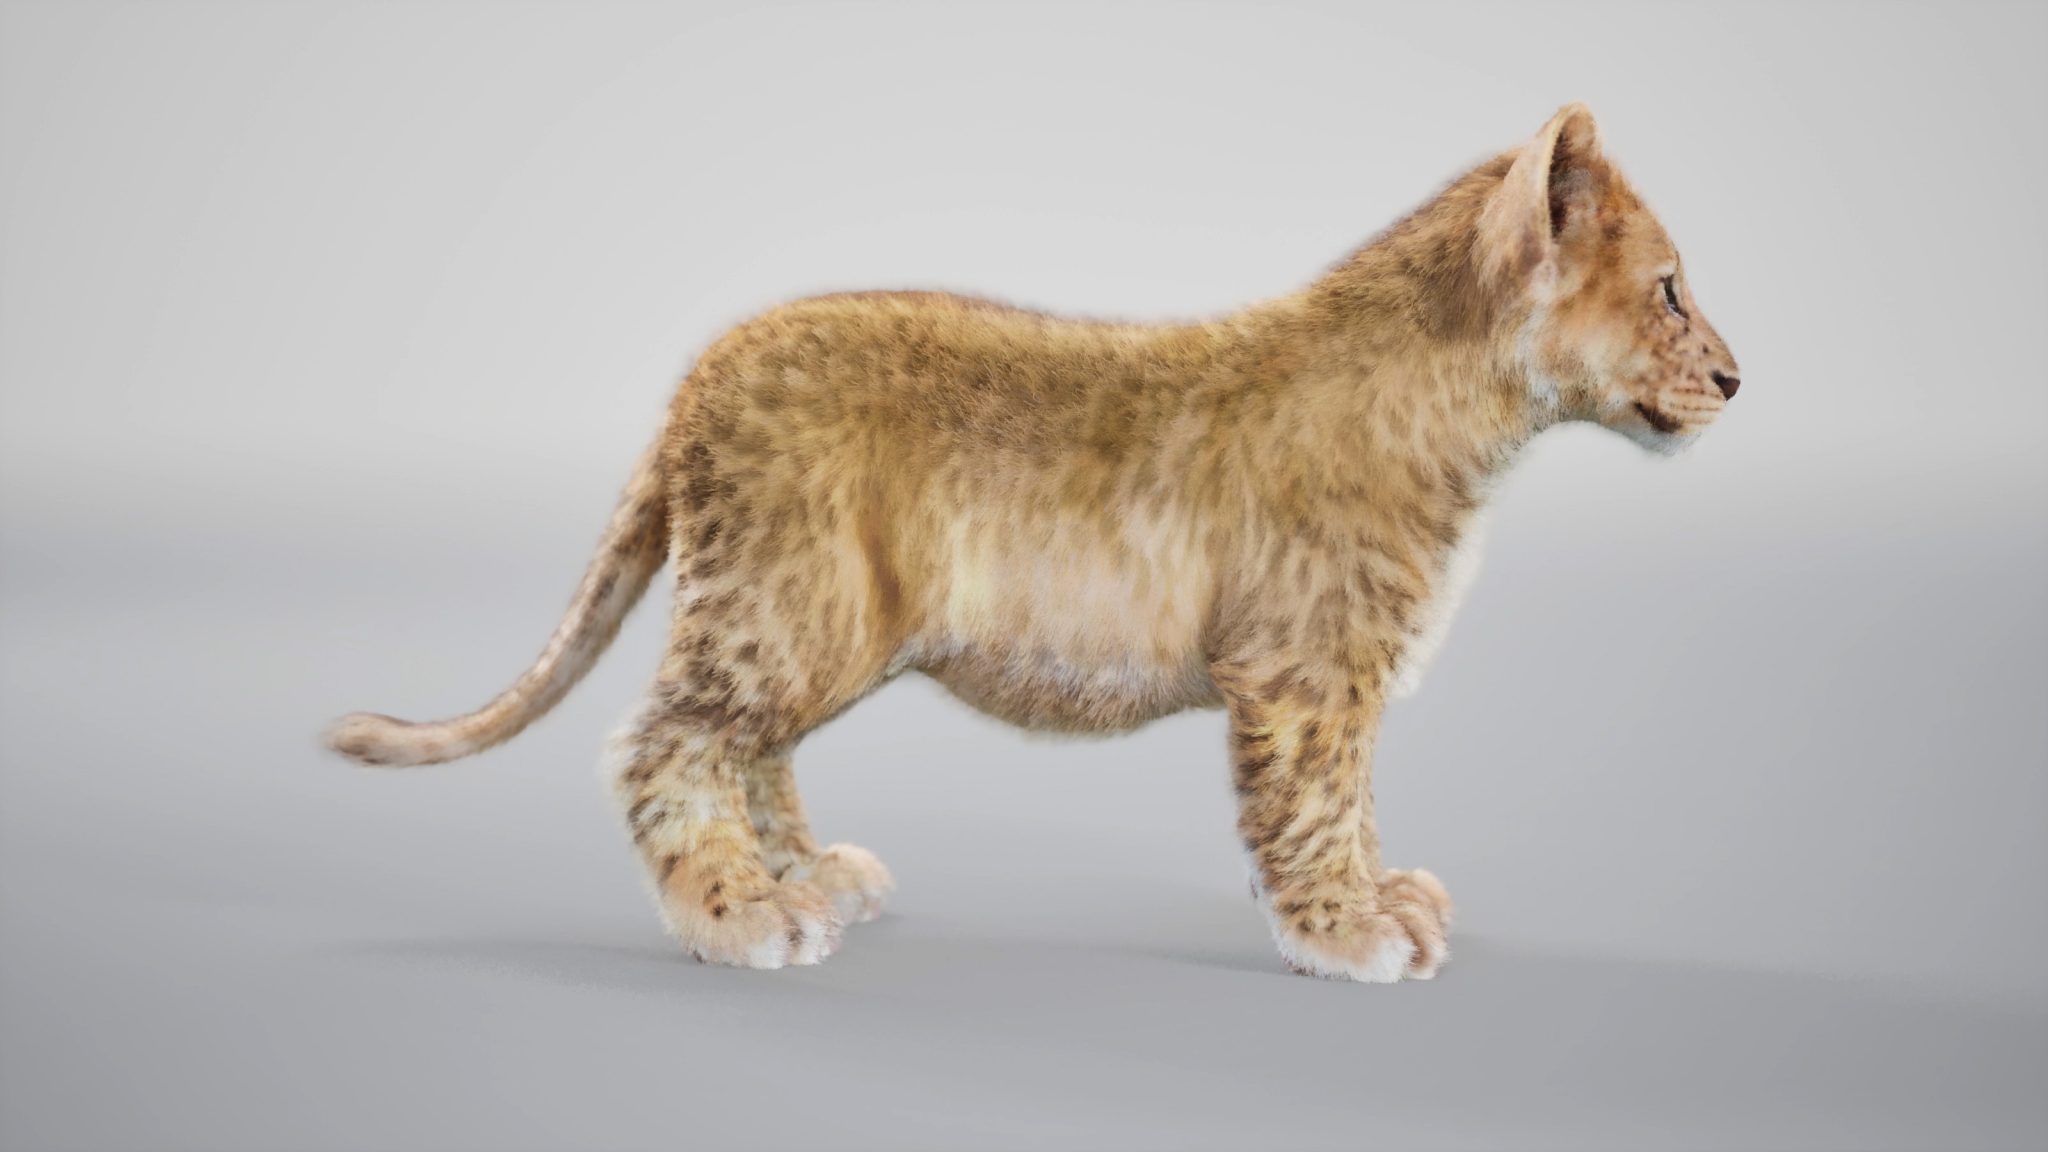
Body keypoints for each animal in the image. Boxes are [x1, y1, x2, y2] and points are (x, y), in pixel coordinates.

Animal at [328, 104, 1740, 981]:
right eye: (1669, 290)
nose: (1736, 378)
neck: (1469, 409)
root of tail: (697, 376)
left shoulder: (1330, 676)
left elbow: (1355, 803)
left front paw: (1380, 900)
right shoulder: (1300, 672)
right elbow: (1315, 805)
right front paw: (1345, 933)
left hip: (820, 624)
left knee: (749, 750)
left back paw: (812, 878)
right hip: (788, 609)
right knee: (664, 743)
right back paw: (744, 919)